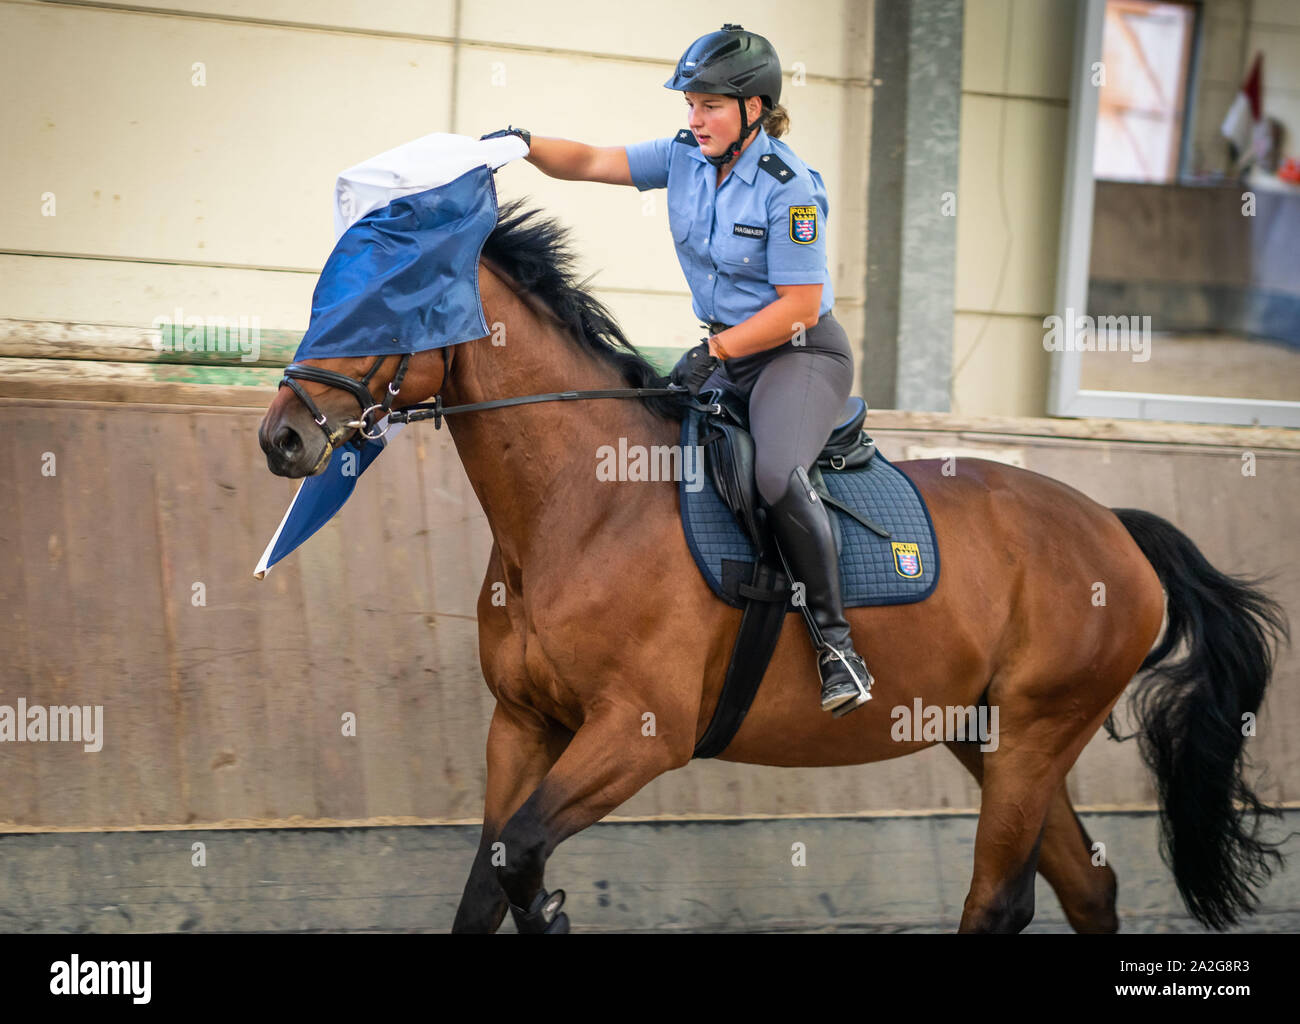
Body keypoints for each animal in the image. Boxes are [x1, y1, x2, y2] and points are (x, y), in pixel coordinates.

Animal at [258, 200, 1289, 933]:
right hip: (991, 733)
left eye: (385, 308)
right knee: (1086, 891)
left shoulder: (638, 735)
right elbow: (485, 883)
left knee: (1000, 901)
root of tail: (1114, 528)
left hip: (1038, 733)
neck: (581, 509)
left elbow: (521, 858)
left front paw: (550, 910)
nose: (283, 438)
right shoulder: (522, 726)